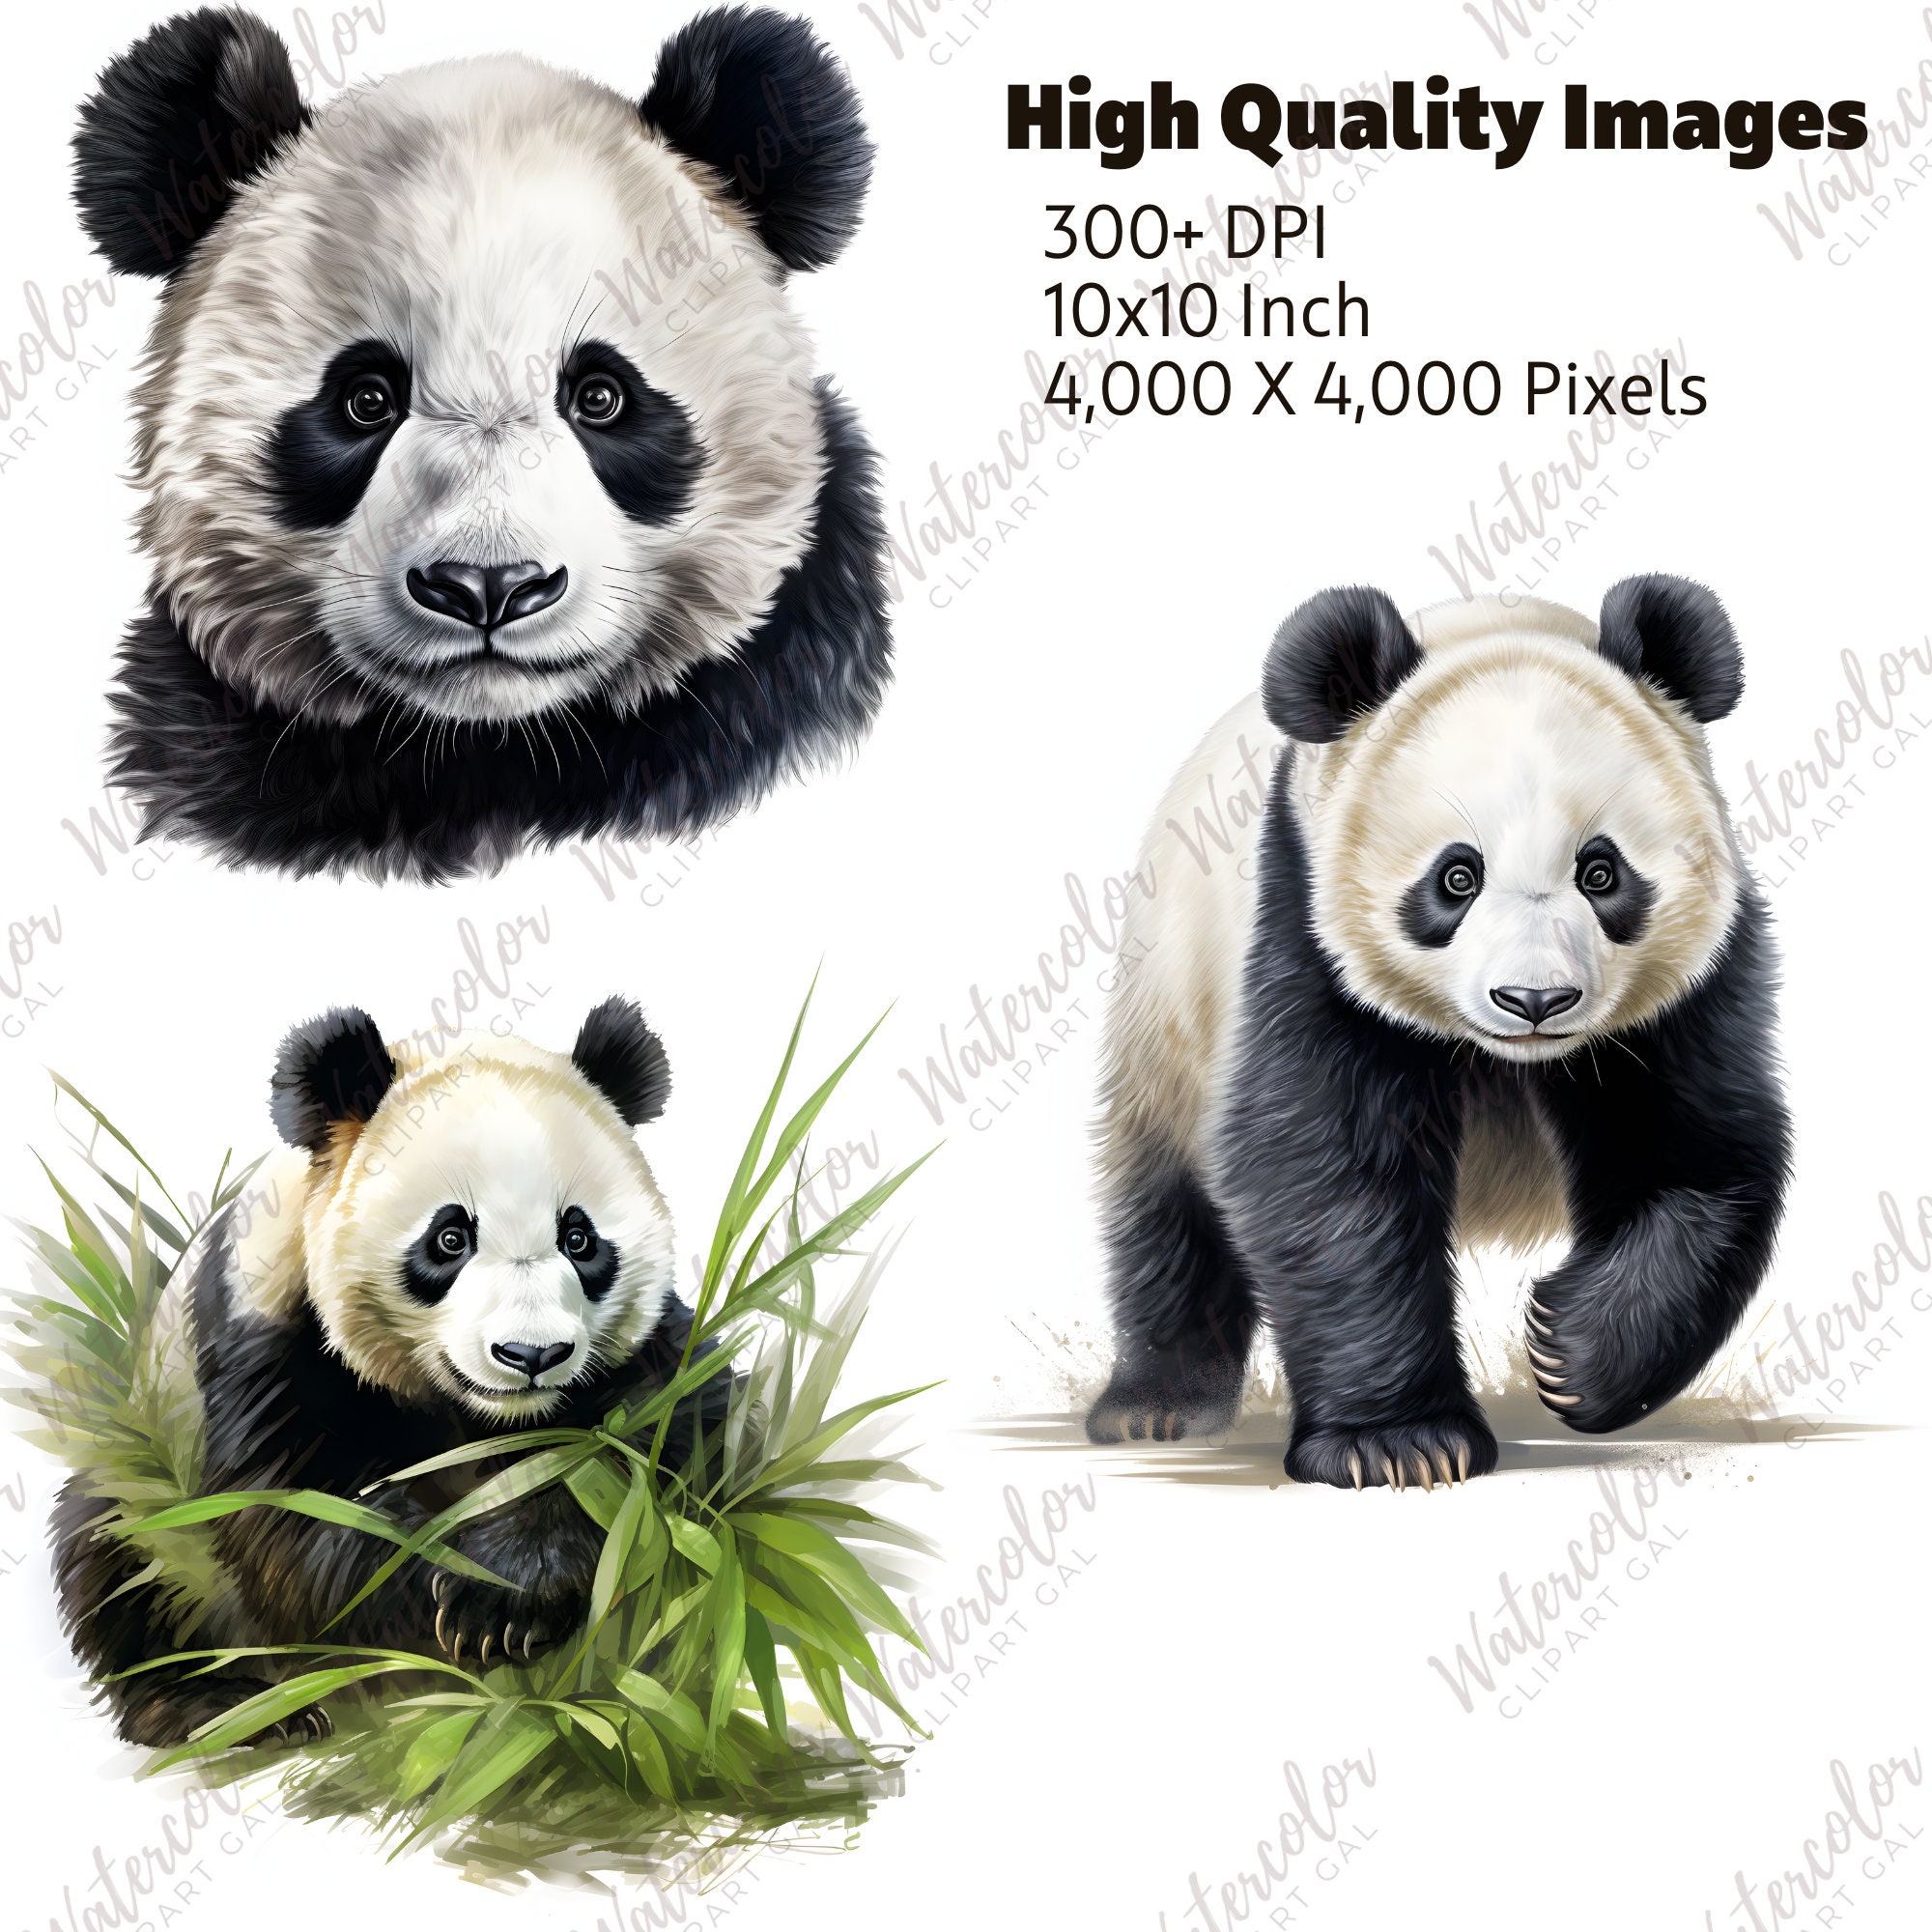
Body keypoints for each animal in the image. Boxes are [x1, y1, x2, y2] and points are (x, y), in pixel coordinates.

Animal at [53, 997, 716, 1746]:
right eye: (450, 1238)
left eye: (578, 1238)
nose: (532, 1356)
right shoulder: (265, 1339)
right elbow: (305, 1511)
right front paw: (462, 1595)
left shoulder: (644, 1357)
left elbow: (648, 1443)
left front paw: (508, 1594)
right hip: (154, 1483)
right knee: (119, 1558)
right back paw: (223, 1705)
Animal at [1085, 579, 1792, 1490]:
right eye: (1457, 877)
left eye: (1601, 872)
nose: (1535, 999)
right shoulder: (1303, 933)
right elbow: (1326, 1172)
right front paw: (1399, 1443)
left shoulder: (1689, 993)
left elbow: (1700, 1154)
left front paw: (1572, 1353)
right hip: (1170, 1013)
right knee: (1169, 1209)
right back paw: (1157, 1405)